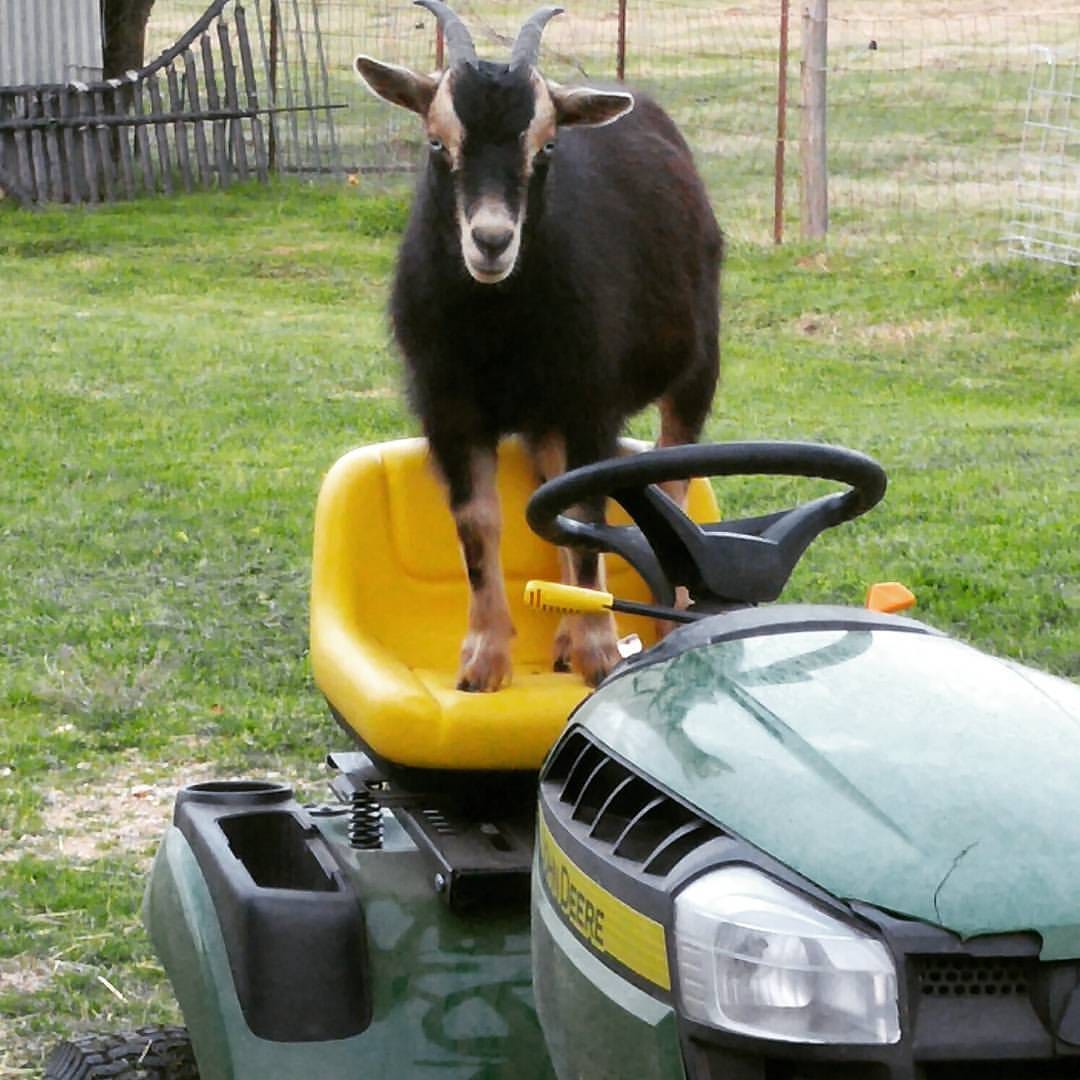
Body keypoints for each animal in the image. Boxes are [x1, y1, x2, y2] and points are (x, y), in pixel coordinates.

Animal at [355, 2, 722, 692]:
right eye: (437, 141)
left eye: (546, 145)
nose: (492, 241)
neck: (498, 328)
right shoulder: (448, 407)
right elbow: (479, 520)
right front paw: (481, 662)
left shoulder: (590, 405)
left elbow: (590, 512)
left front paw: (601, 651)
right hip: (542, 419)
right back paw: (561, 636)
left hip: (696, 364)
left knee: (674, 469)